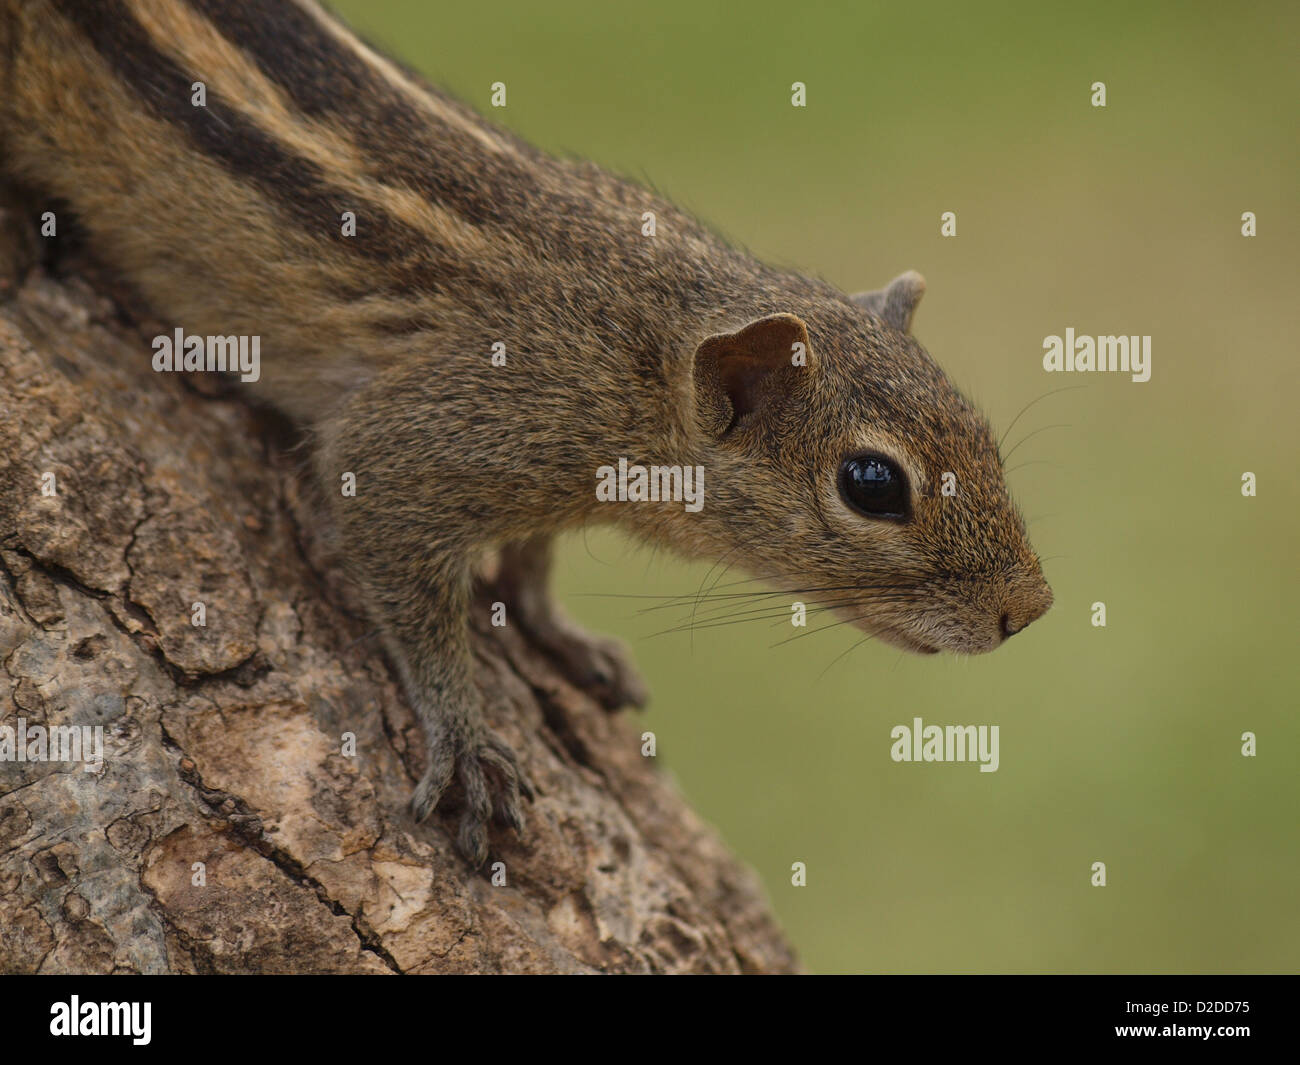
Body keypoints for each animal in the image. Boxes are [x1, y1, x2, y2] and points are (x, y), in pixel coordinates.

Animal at [0, 0, 1053, 866]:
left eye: (981, 431)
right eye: (874, 484)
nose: (1031, 609)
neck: (638, 344)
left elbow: (539, 554)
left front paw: (559, 631)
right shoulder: (425, 440)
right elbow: (408, 578)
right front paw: (465, 739)